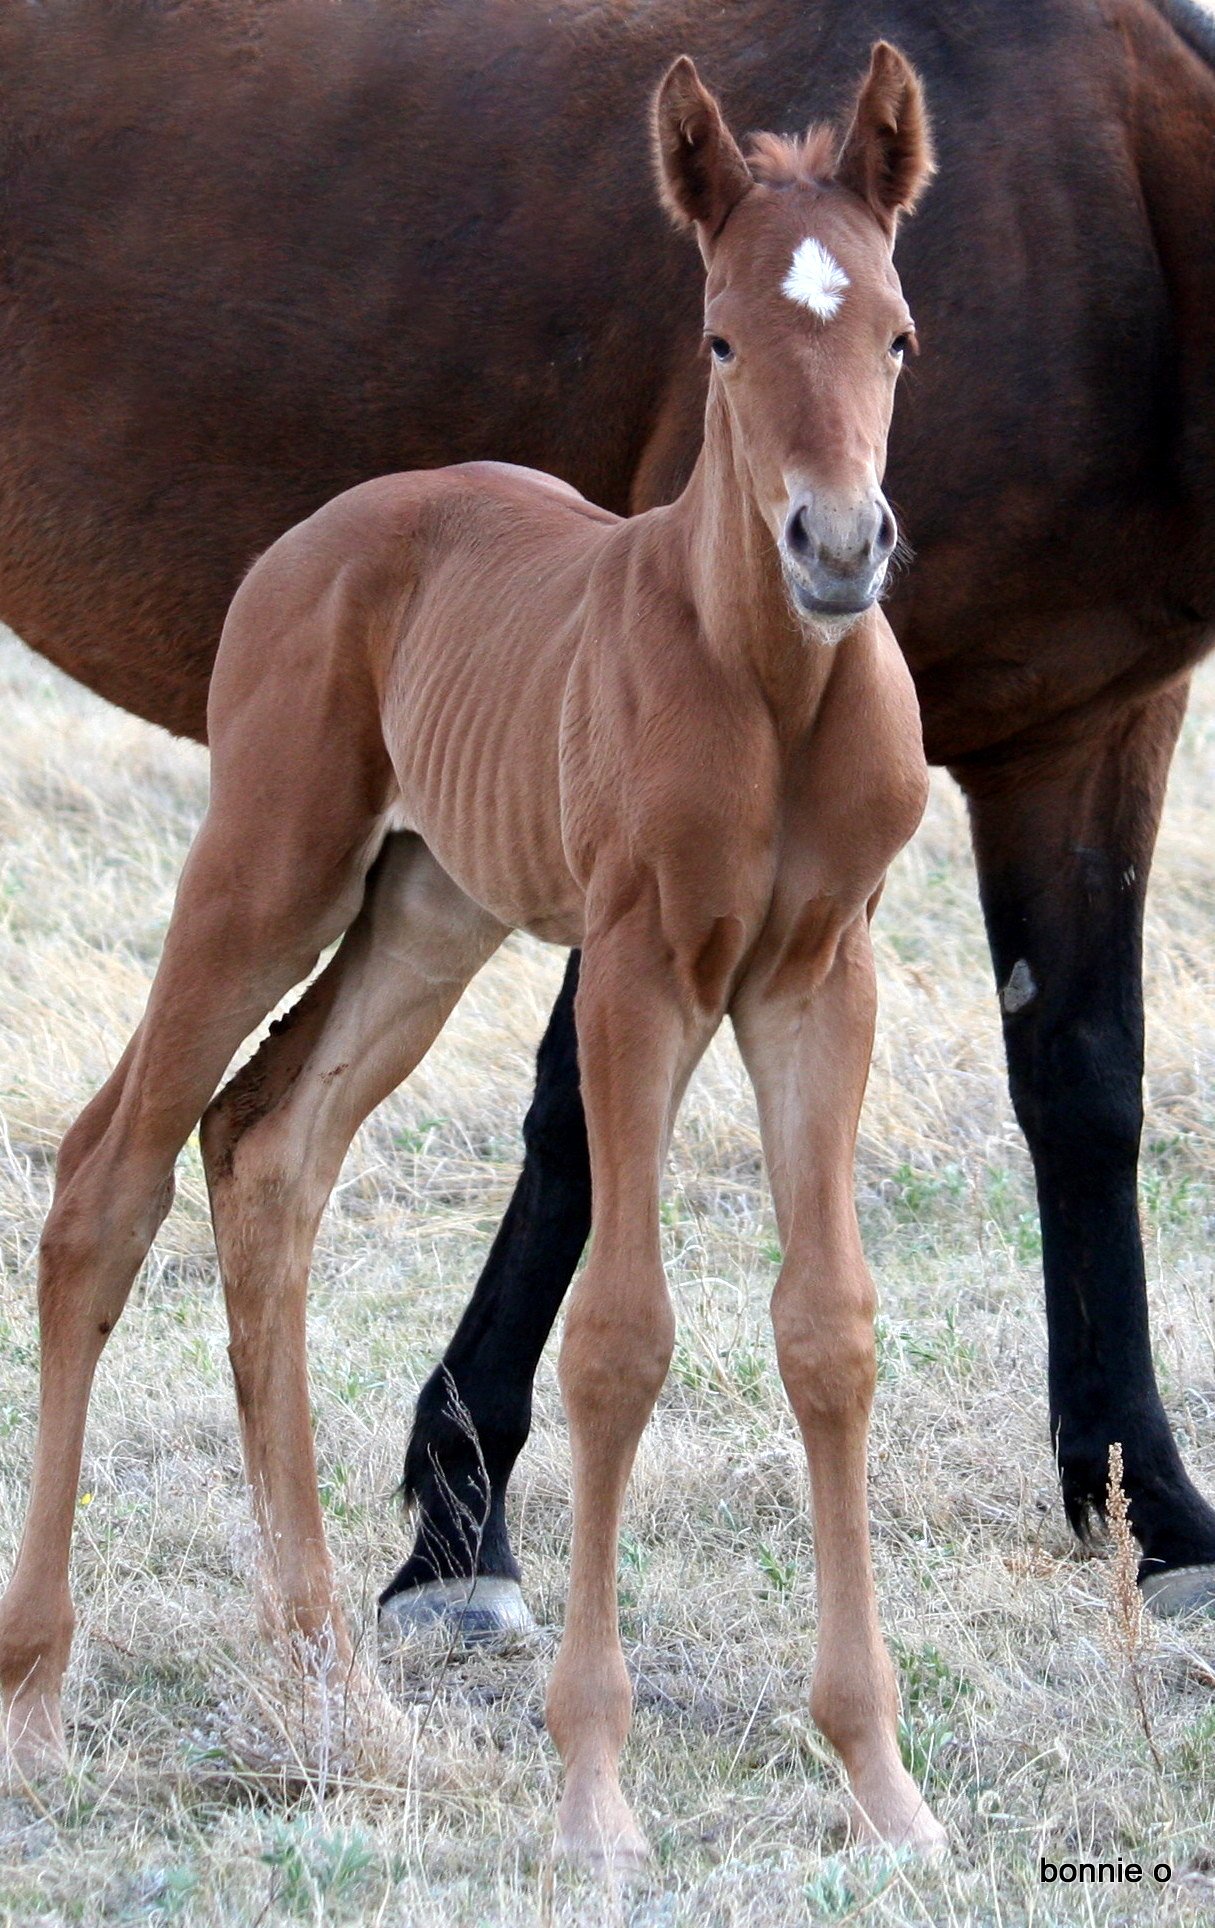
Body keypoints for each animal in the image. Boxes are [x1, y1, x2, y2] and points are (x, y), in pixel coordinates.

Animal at [0, 47, 944, 1864]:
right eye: (722, 339)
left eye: (896, 333)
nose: (836, 545)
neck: (770, 687)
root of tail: (320, 531)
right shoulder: (644, 969)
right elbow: (620, 1337)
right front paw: (593, 1798)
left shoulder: (819, 977)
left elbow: (831, 1330)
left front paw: (884, 1787)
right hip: (268, 870)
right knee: (107, 1174)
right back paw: (34, 1699)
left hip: (425, 918)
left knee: (268, 1146)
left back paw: (322, 1680)